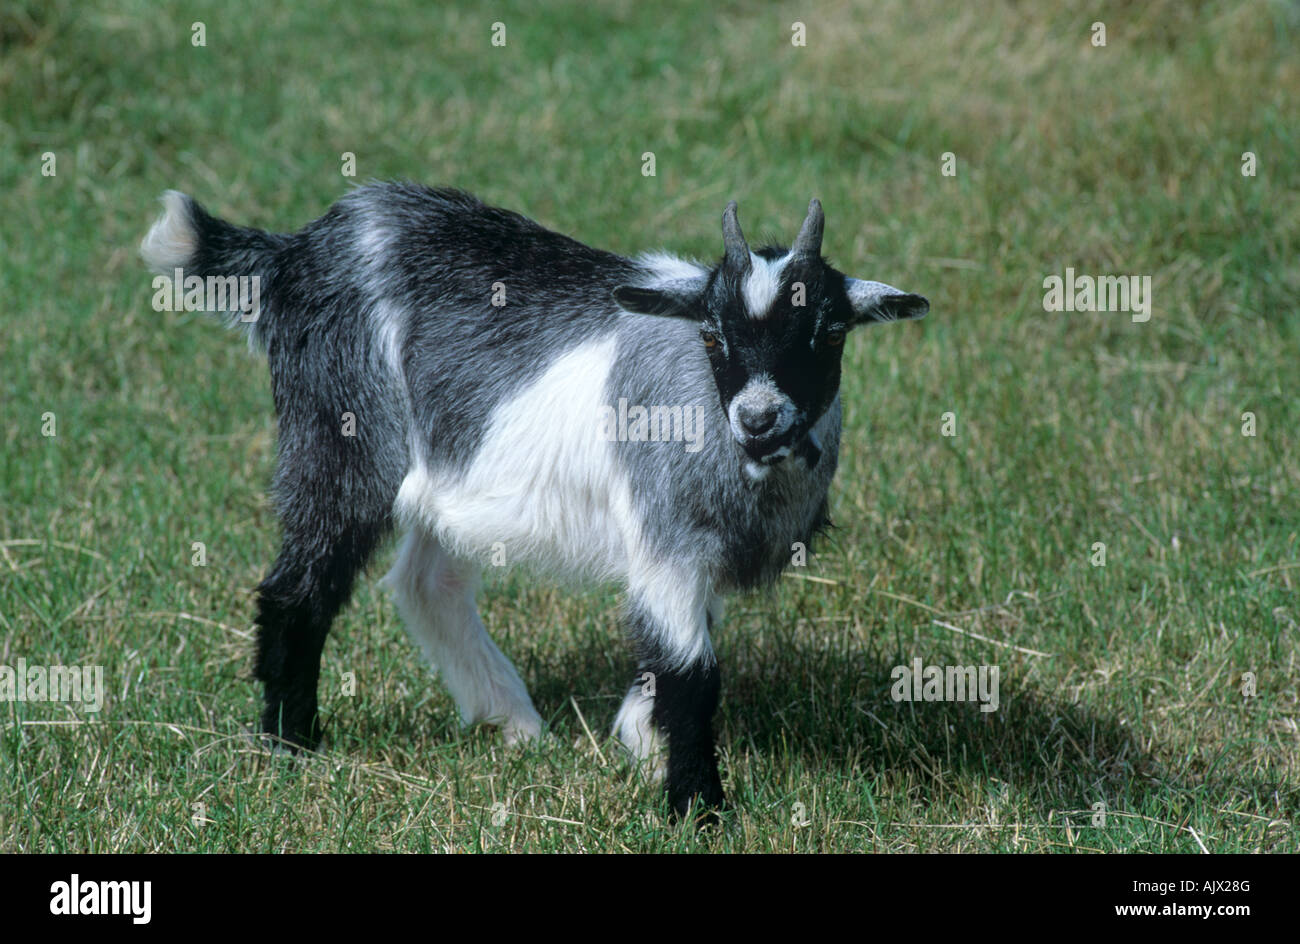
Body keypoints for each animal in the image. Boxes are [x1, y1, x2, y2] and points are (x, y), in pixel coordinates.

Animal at [140, 183, 928, 820]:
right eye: (711, 332)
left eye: (829, 330)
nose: (759, 419)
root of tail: (294, 254)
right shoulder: (668, 541)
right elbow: (692, 672)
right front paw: (697, 809)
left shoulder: (694, 556)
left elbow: (674, 648)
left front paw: (639, 742)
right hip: (340, 438)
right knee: (299, 589)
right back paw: (292, 744)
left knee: (426, 584)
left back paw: (512, 723)